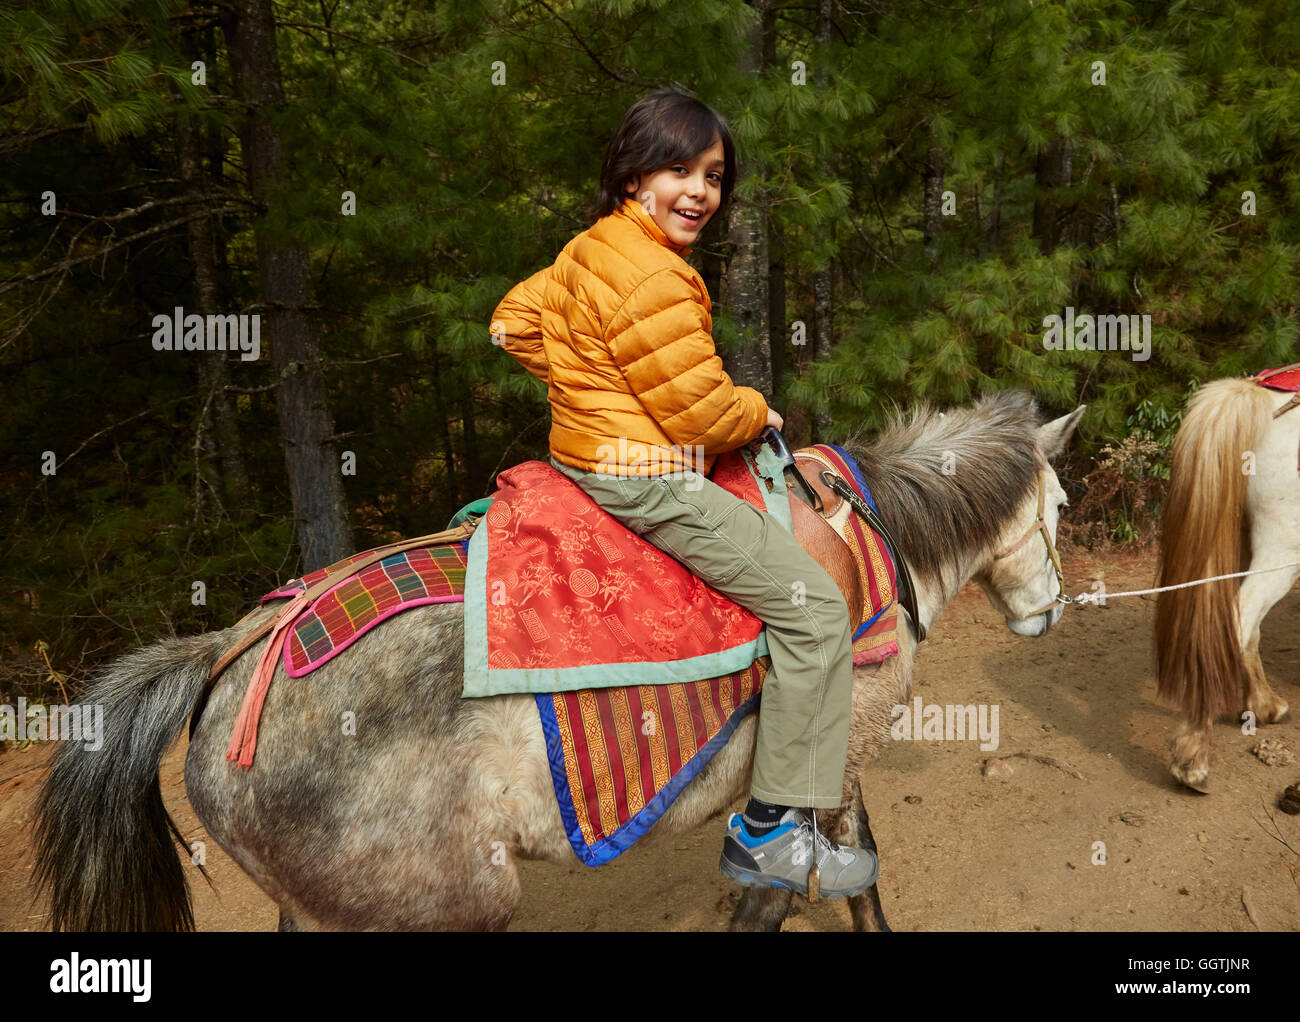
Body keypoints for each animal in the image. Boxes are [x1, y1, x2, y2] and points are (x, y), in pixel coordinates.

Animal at [34, 390, 1083, 932]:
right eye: (1064, 506)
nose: (1051, 611)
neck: (871, 536)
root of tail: (233, 654)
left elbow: (855, 873)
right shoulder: (838, 748)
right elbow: (788, 892)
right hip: (453, 908)